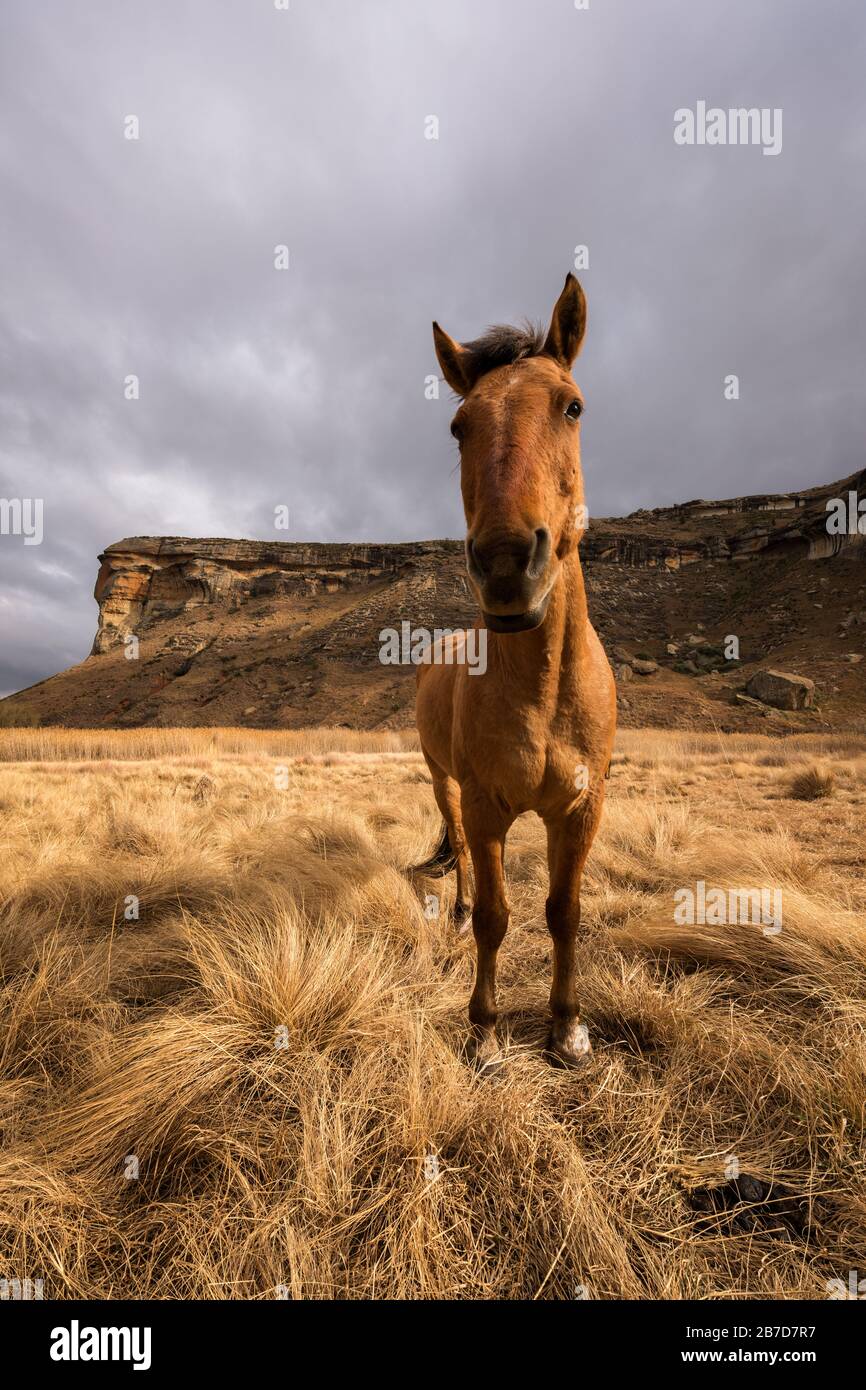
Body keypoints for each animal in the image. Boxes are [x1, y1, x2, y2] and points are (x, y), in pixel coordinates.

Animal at [415, 273, 616, 1070]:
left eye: (573, 405)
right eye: (458, 427)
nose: (505, 564)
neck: (542, 691)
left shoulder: (582, 808)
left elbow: (564, 911)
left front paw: (567, 1025)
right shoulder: (485, 805)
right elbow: (500, 918)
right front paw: (487, 1031)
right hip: (444, 785)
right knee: (467, 865)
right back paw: (459, 907)